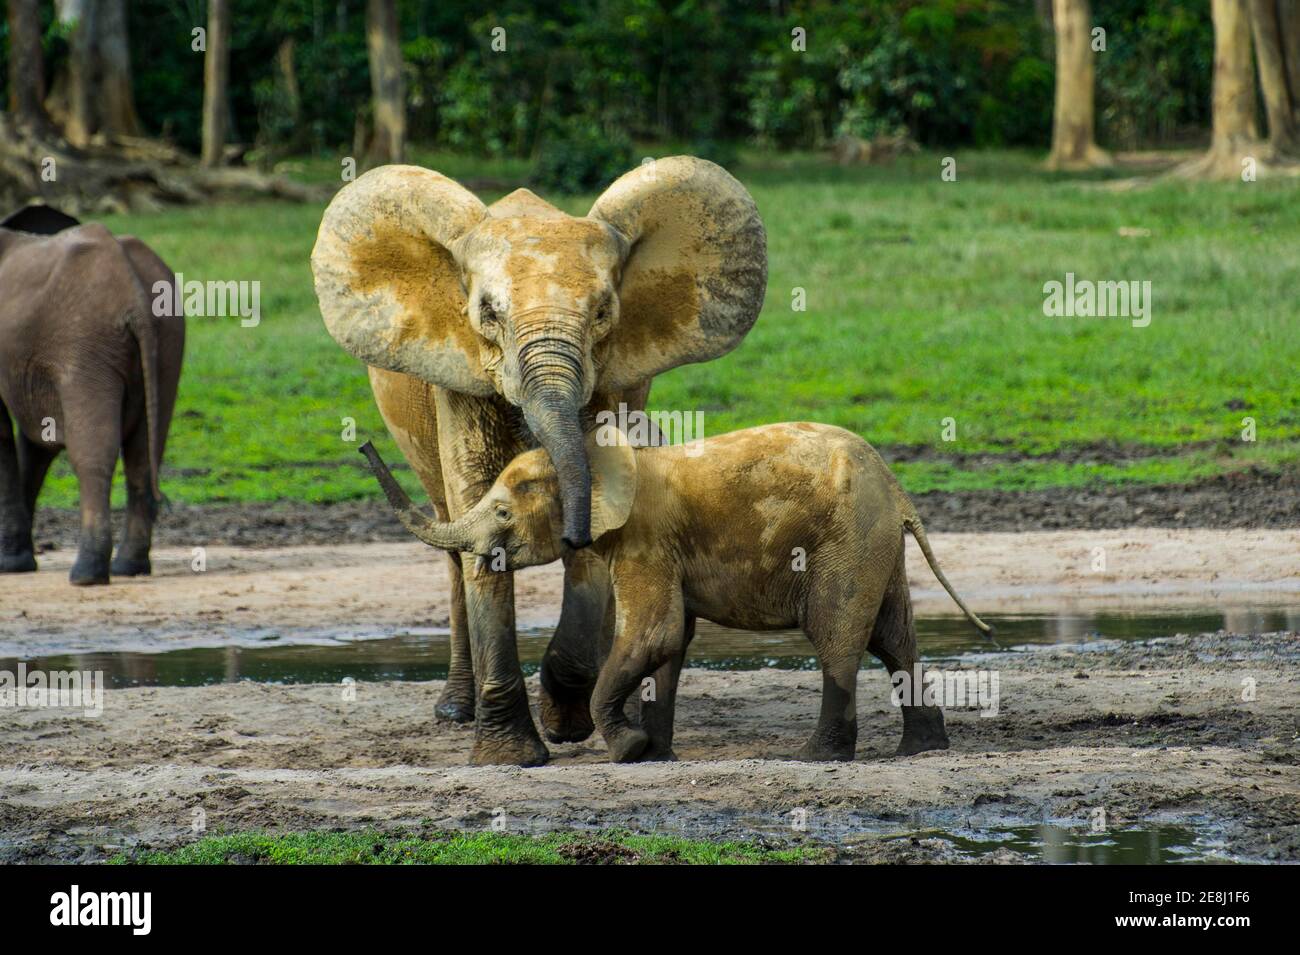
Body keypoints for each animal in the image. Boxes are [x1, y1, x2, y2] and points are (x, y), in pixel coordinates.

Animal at [0, 205, 185, 585]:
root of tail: (133, 292)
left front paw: (9, 564)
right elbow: (36, 444)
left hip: (85, 343)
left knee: (92, 453)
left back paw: (87, 575)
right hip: (168, 336)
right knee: (144, 455)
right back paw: (129, 567)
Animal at [312, 157, 767, 765]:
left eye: (603, 313)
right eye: (487, 313)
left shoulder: (614, 378)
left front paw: (567, 723)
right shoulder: (460, 380)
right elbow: (478, 518)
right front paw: (510, 757)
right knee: (450, 533)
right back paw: (456, 712)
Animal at [359, 421, 993, 763]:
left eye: (501, 512)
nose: (363, 445)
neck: (592, 457)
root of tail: (897, 489)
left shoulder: (646, 542)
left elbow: (653, 633)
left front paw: (629, 750)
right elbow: (671, 644)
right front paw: (653, 754)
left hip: (847, 539)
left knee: (837, 637)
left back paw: (816, 757)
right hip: (873, 542)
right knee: (895, 639)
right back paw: (923, 750)